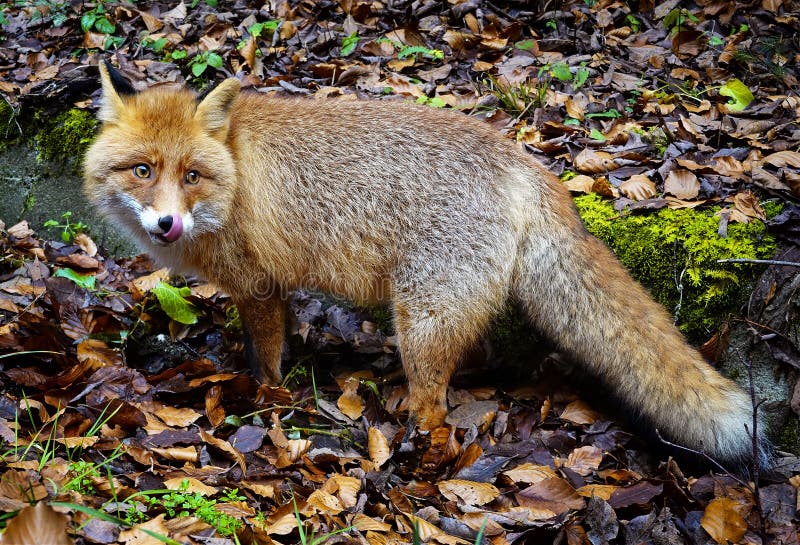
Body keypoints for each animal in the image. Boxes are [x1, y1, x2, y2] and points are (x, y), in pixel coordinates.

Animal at [83, 61, 769, 467]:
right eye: (142, 170)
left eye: (190, 176)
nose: (166, 224)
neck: (236, 182)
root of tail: (527, 163)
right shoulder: (274, 285)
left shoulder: (257, 285)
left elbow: (267, 360)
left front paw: (266, 399)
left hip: (421, 319)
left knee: (435, 405)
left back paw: (412, 447)